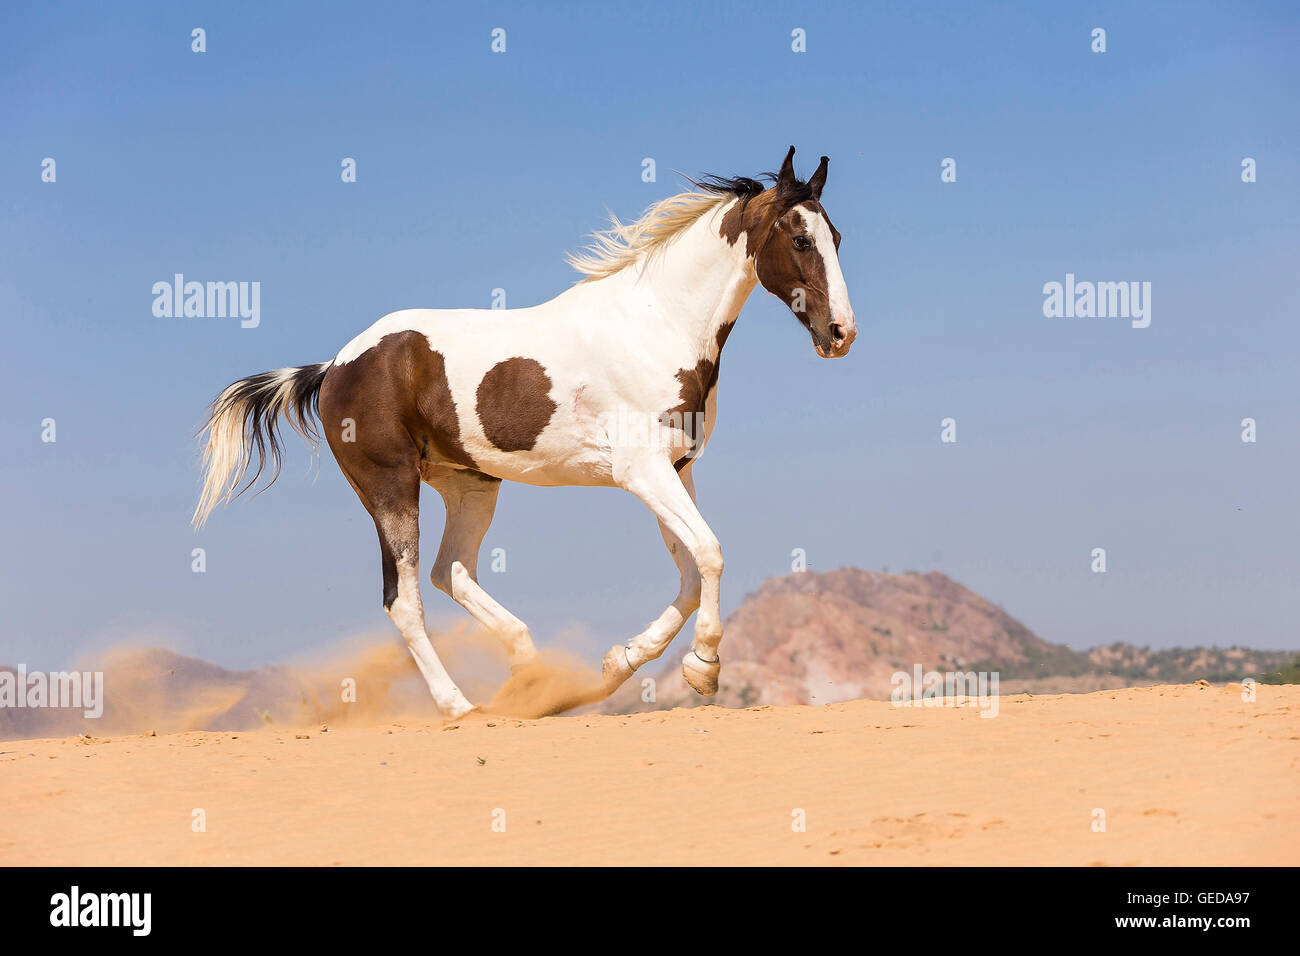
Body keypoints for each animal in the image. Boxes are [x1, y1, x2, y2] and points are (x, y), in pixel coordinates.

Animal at [192, 146, 857, 718]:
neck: (655, 326)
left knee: (451, 572)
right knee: (404, 599)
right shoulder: (640, 472)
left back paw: (532, 675)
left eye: (837, 238)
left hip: (470, 486)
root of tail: (333, 367)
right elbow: (711, 554)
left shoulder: (676, 470)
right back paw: (460, 705)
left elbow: (693, 570)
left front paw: (620, 662)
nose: (841, 334)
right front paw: (703, 670)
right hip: (389, 487)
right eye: (800, 238)